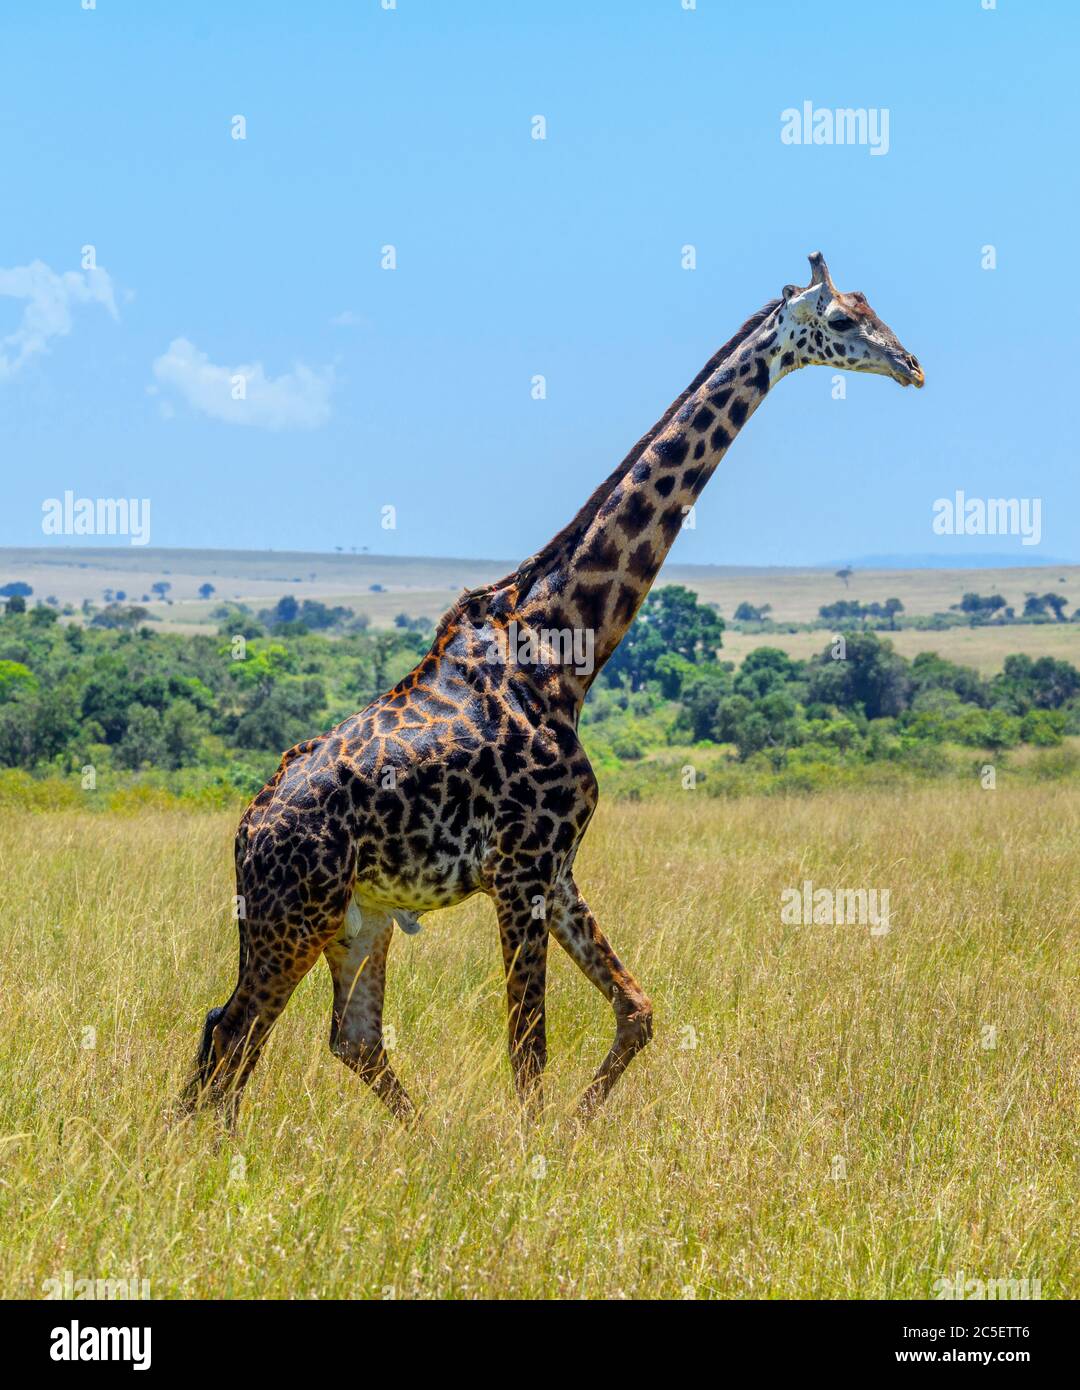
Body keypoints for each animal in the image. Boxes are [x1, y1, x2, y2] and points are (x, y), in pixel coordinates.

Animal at [182, 252, 923, 1125]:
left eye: (874, 310)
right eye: (842, 320)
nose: (910, 364)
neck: (566, 651)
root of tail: (244, 835)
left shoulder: (557, 865)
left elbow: (636, 1010)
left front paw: (571, 1132)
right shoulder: (521, 867)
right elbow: (528, 1052)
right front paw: (541, 1146)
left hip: (361, 918)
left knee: (339, 1038)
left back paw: (419, 1141)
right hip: (294, 912)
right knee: (232, 1035)